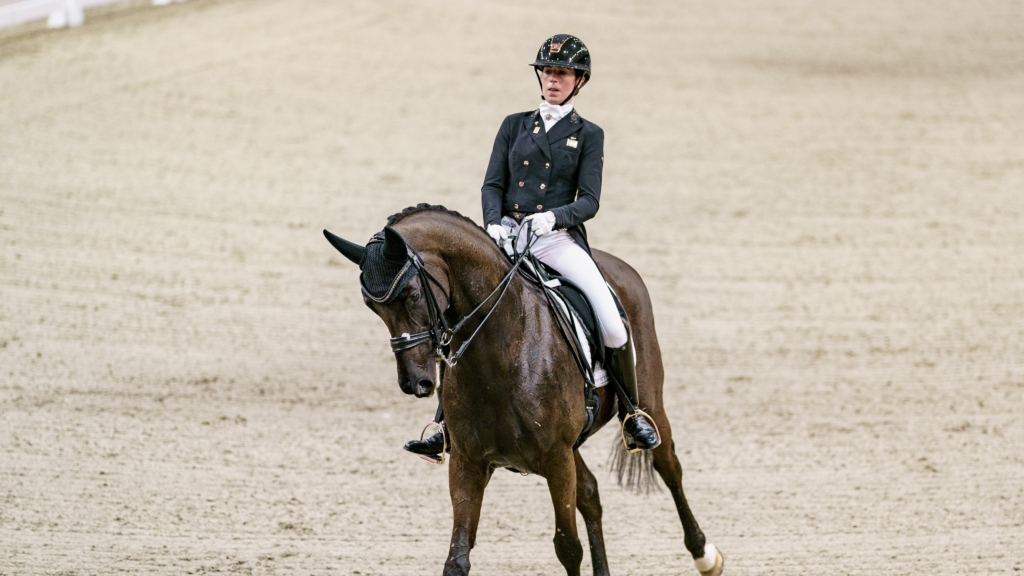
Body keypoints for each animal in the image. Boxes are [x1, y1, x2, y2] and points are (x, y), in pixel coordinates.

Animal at [323, 203, 724, 573]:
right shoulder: (468, 461)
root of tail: (619, 266)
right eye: (371, 306)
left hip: (648, 403)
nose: (415, 383)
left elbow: (568, 547)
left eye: (411, 294)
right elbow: (457, 557)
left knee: (668, 465)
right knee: (591, 494)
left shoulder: (557, 459)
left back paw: (705, 555)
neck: (500, 351)